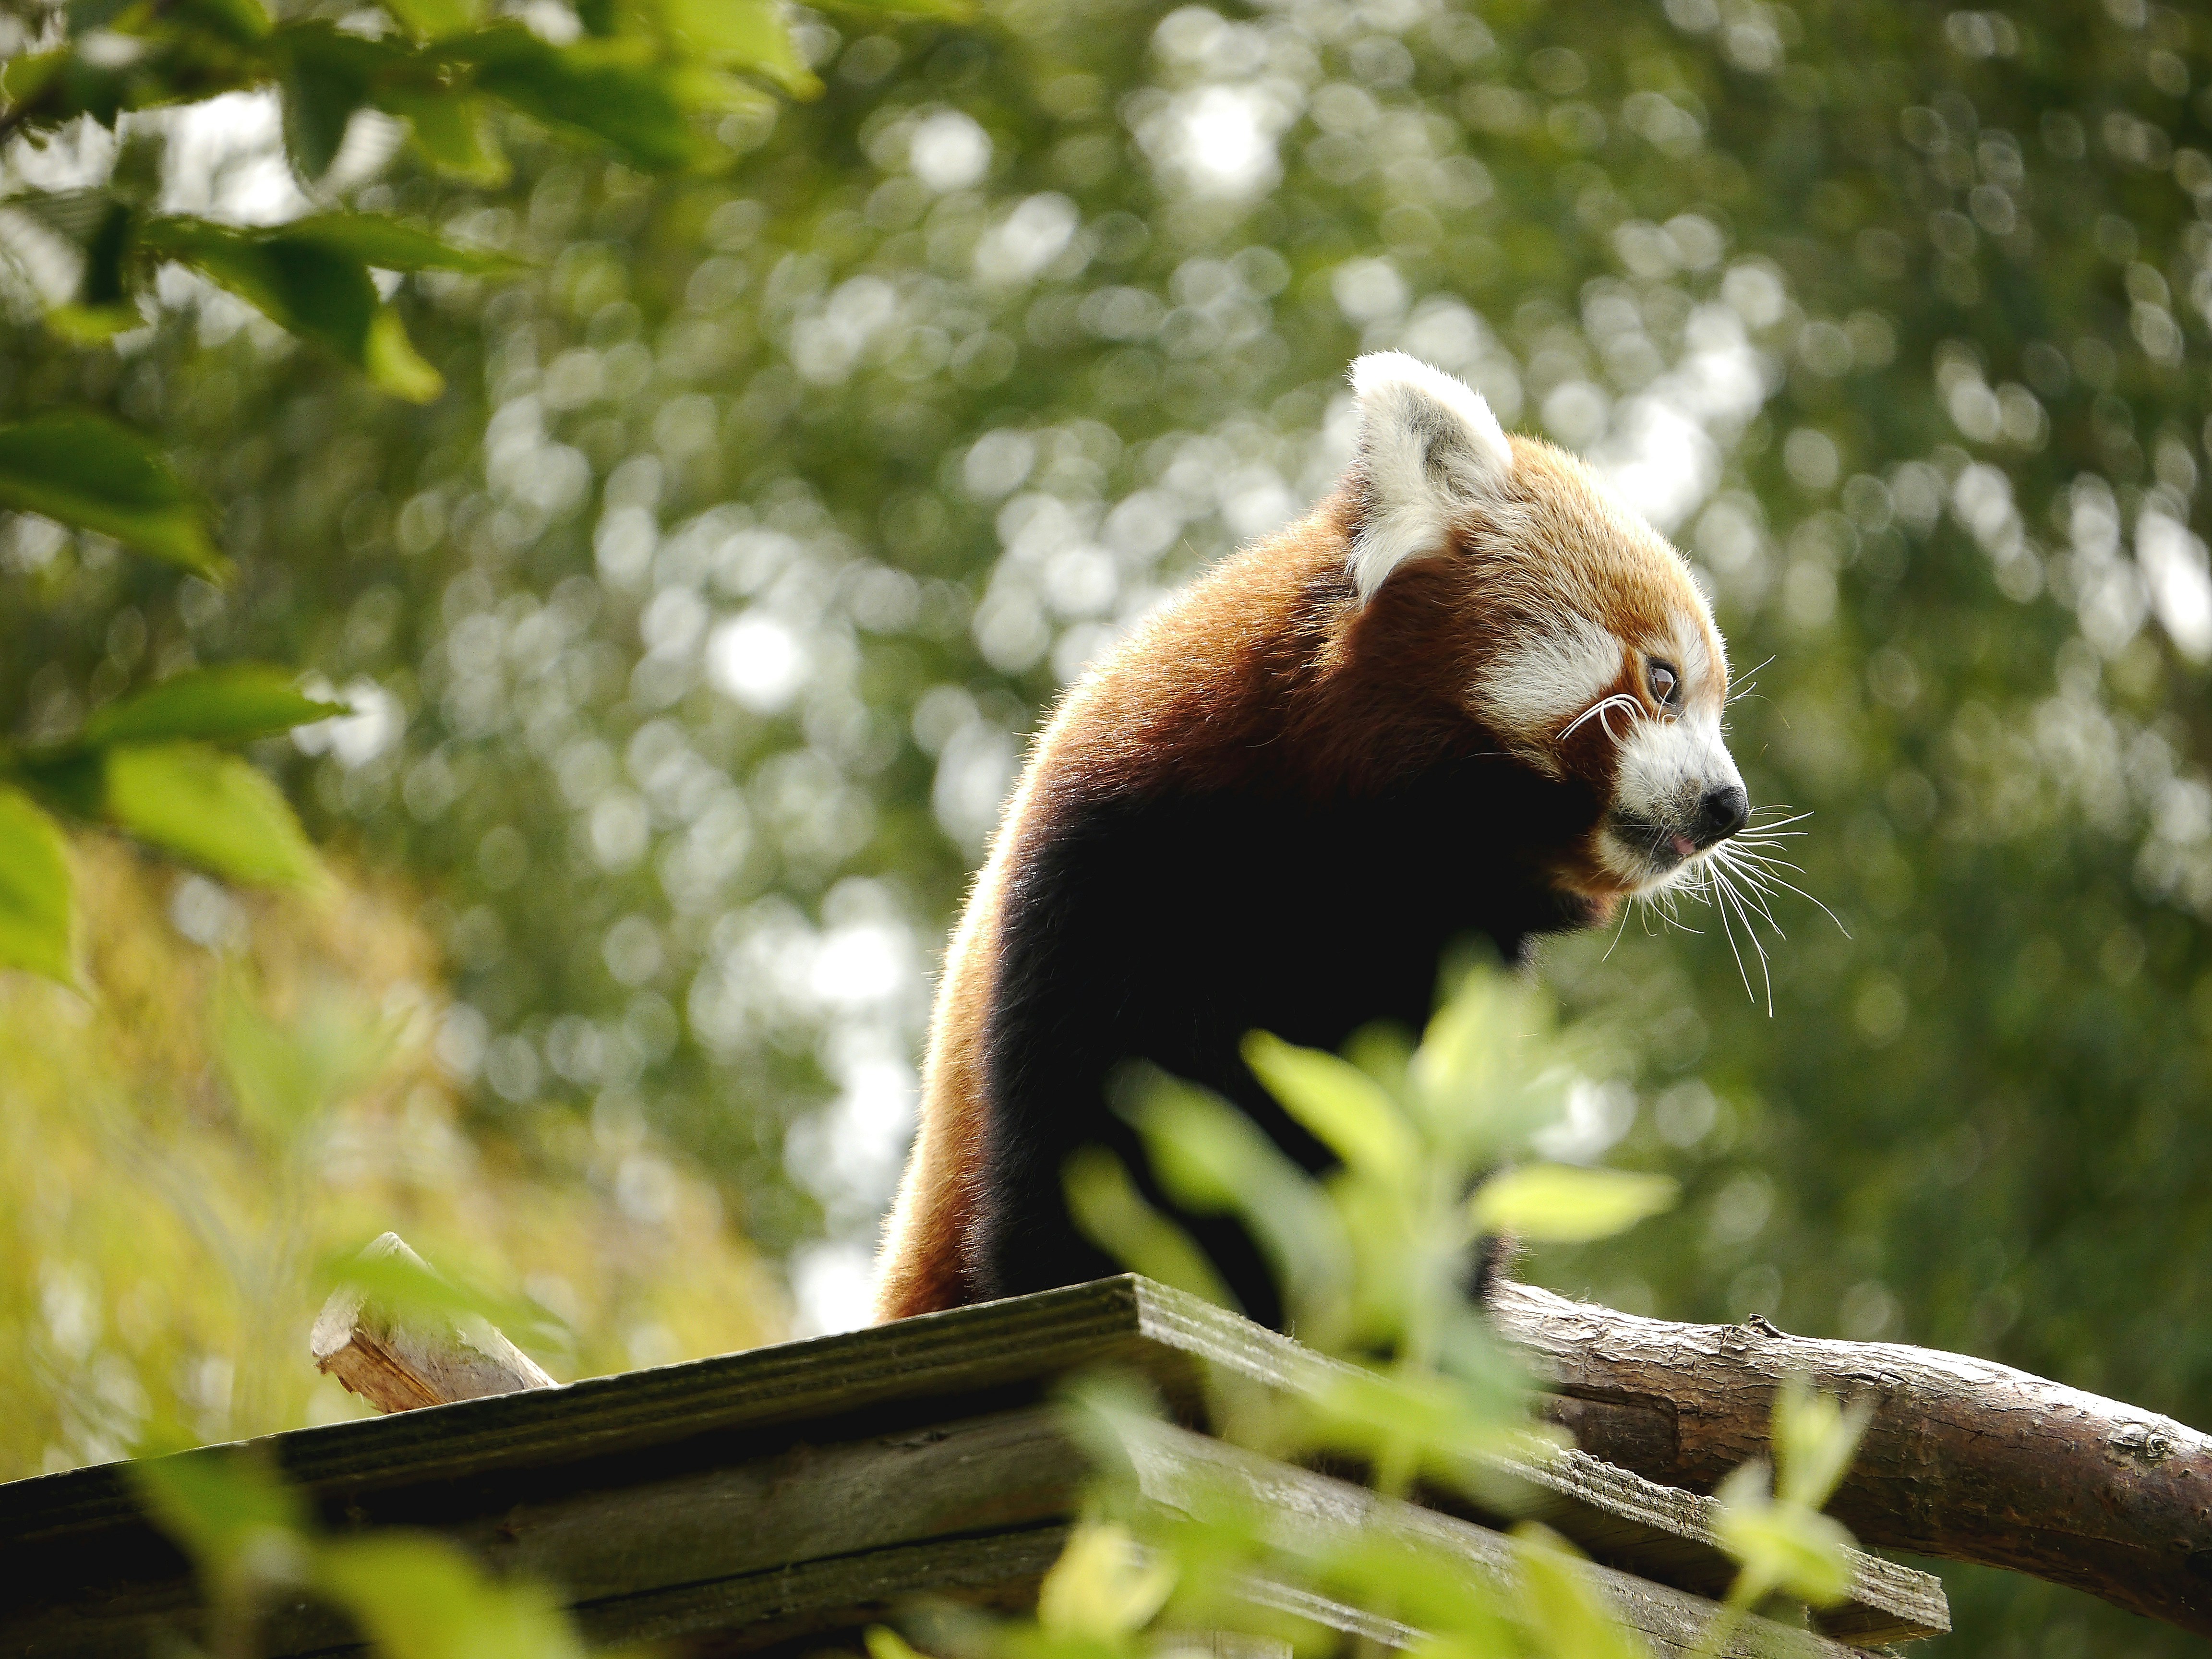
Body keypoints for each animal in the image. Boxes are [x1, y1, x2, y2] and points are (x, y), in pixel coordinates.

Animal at [873, 351, 1749, 1330]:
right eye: (1665, 682)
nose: (1729, 805)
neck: (1356, 858)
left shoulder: (1447, 955)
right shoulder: (1111, 862)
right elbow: (1086, 1151)